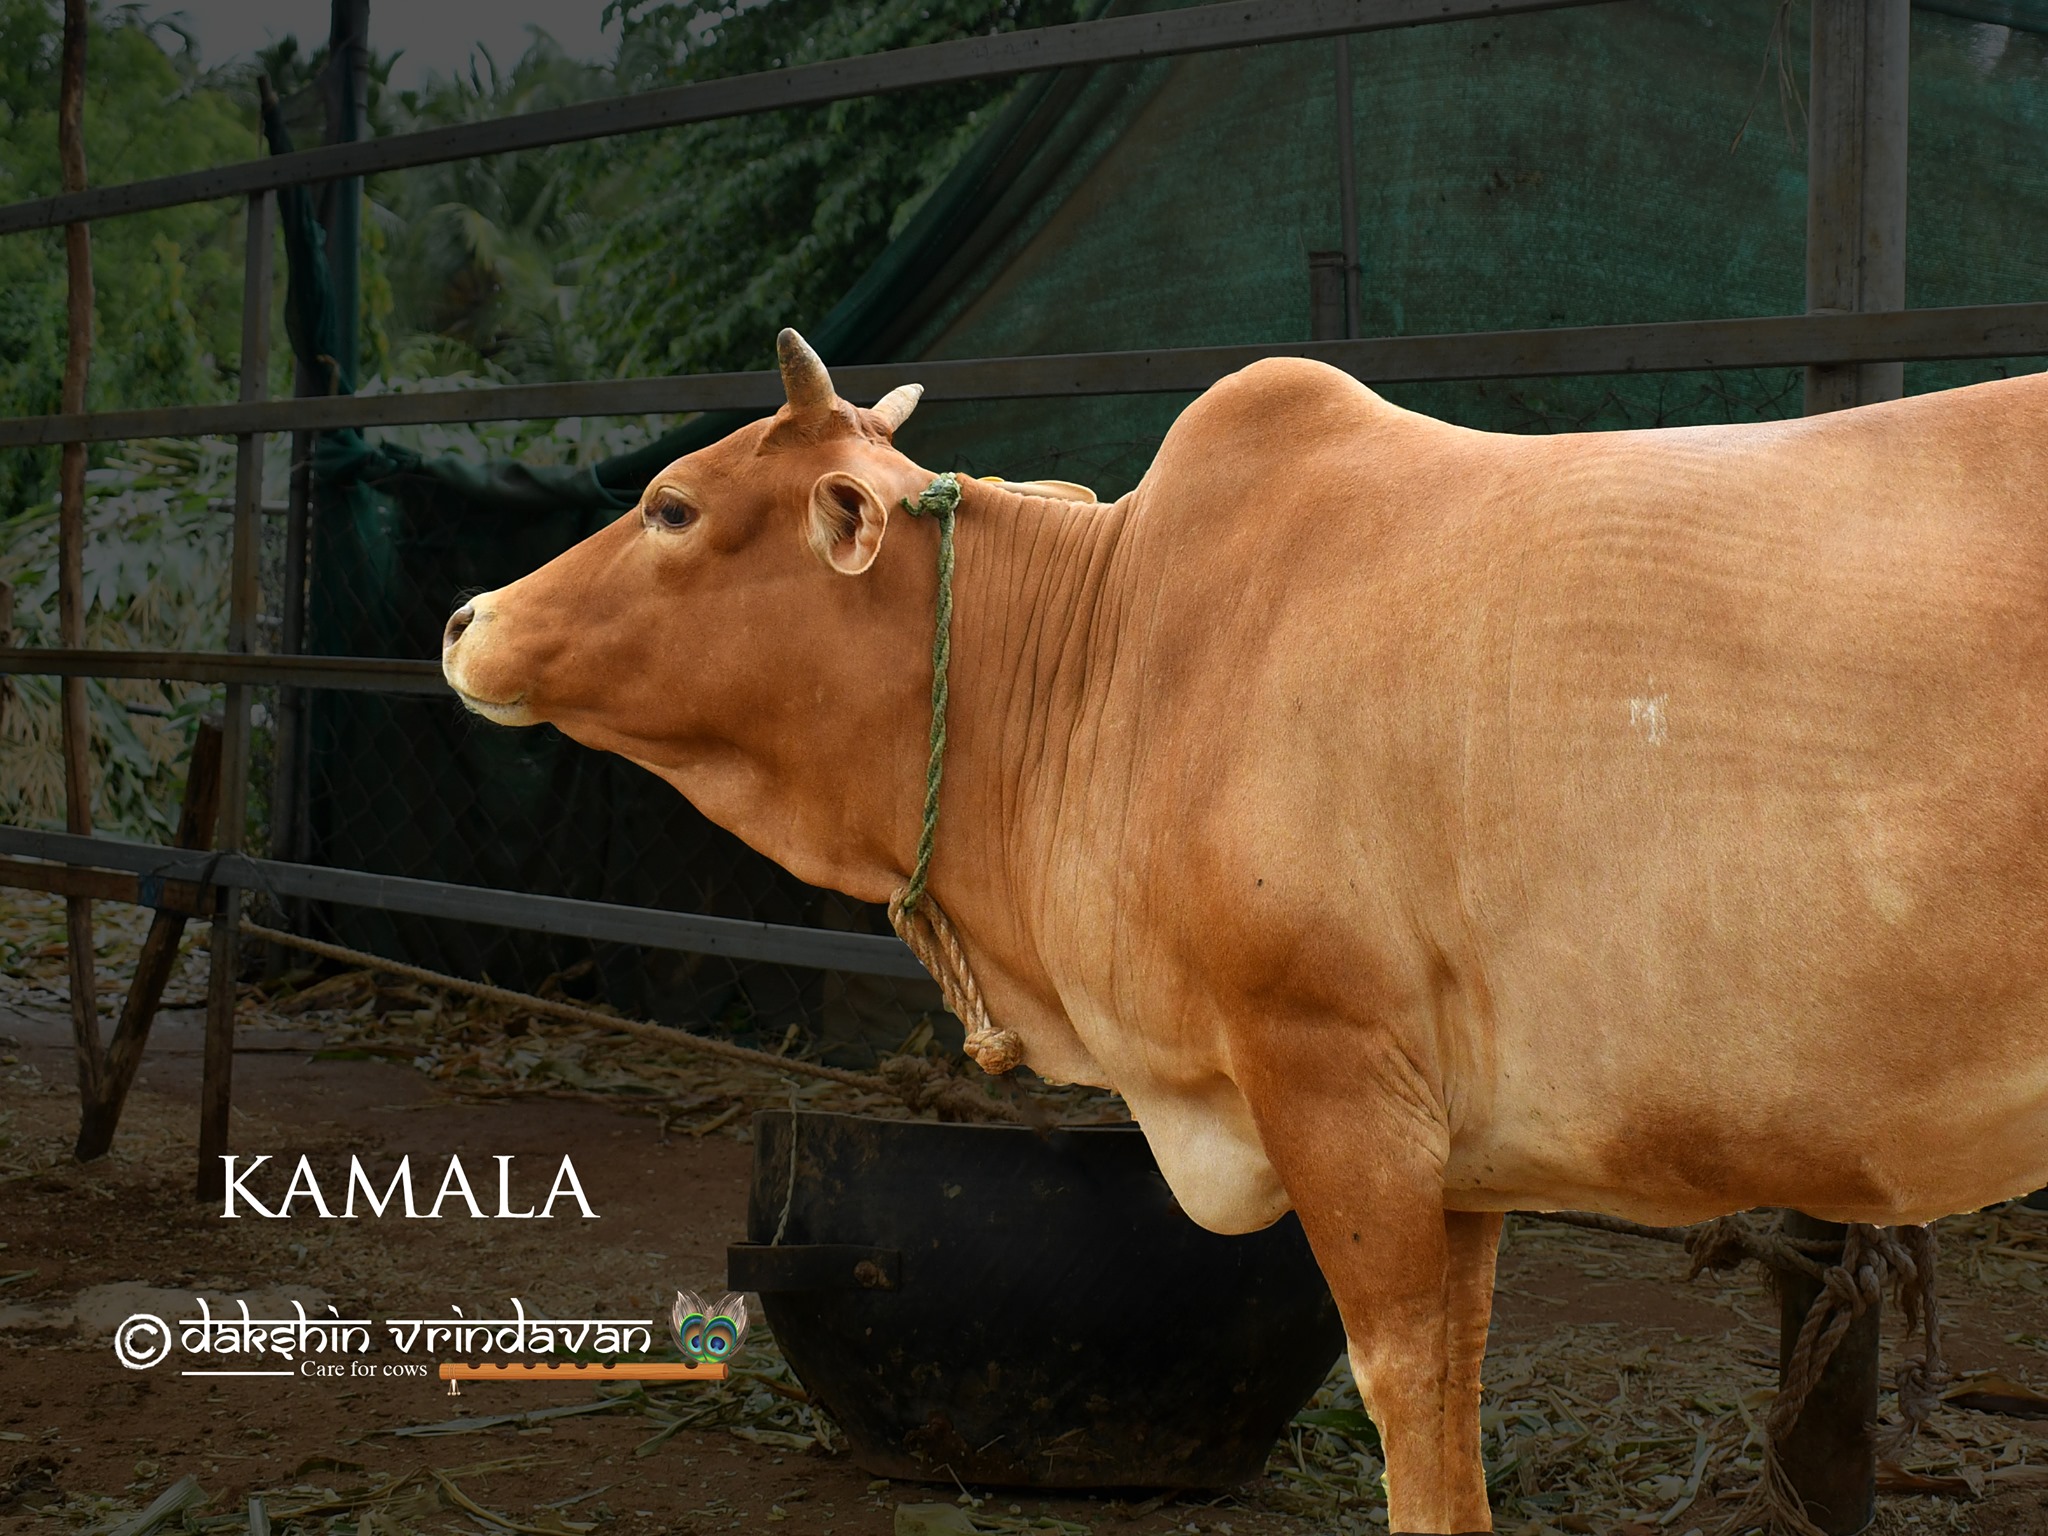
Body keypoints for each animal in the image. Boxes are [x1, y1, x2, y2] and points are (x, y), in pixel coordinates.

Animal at [441, 328, 2048, 1533]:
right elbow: (1455, 1388)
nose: (462, 619)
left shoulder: (1328, 1072)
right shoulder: (1455, 1154)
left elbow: (1405, 1402)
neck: (1114, 649)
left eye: (671, 506)